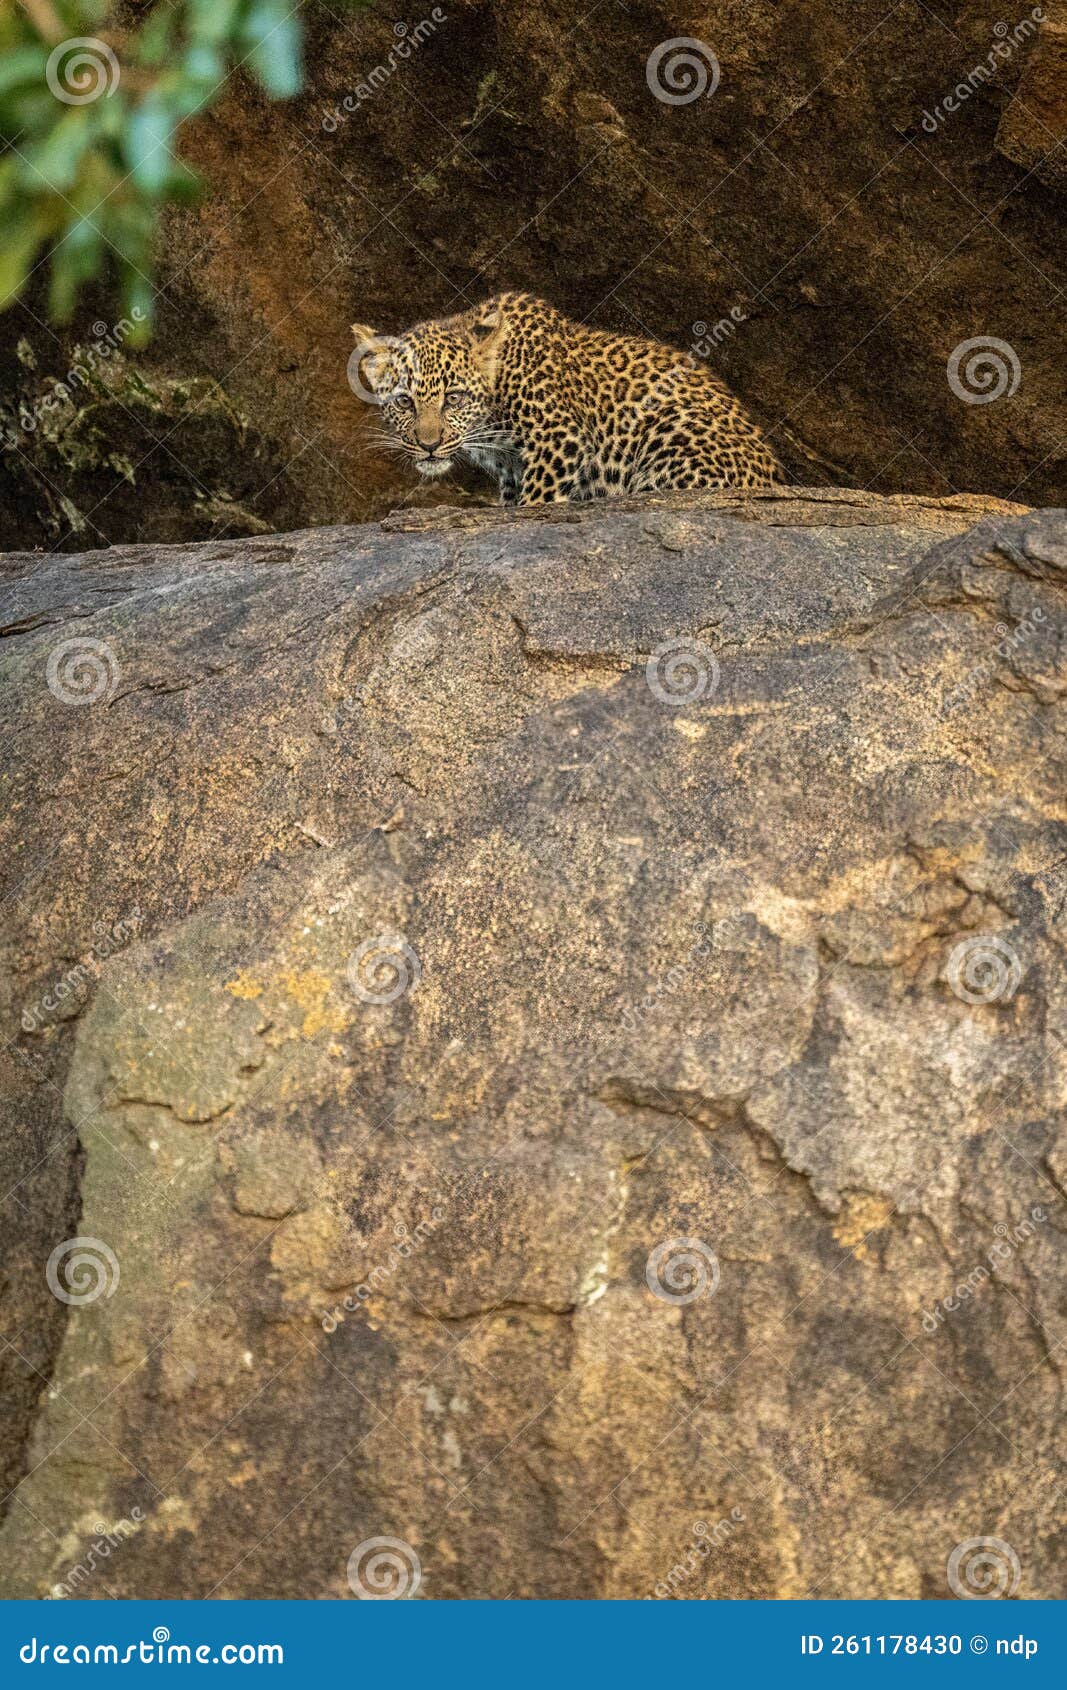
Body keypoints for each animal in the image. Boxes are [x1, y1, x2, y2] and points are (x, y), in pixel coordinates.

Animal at [350, 291, 782, 506]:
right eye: (404, 402)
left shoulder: (558, 441)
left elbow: (538, 503)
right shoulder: (511, 469)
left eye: (454, 398)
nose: (429, 446)